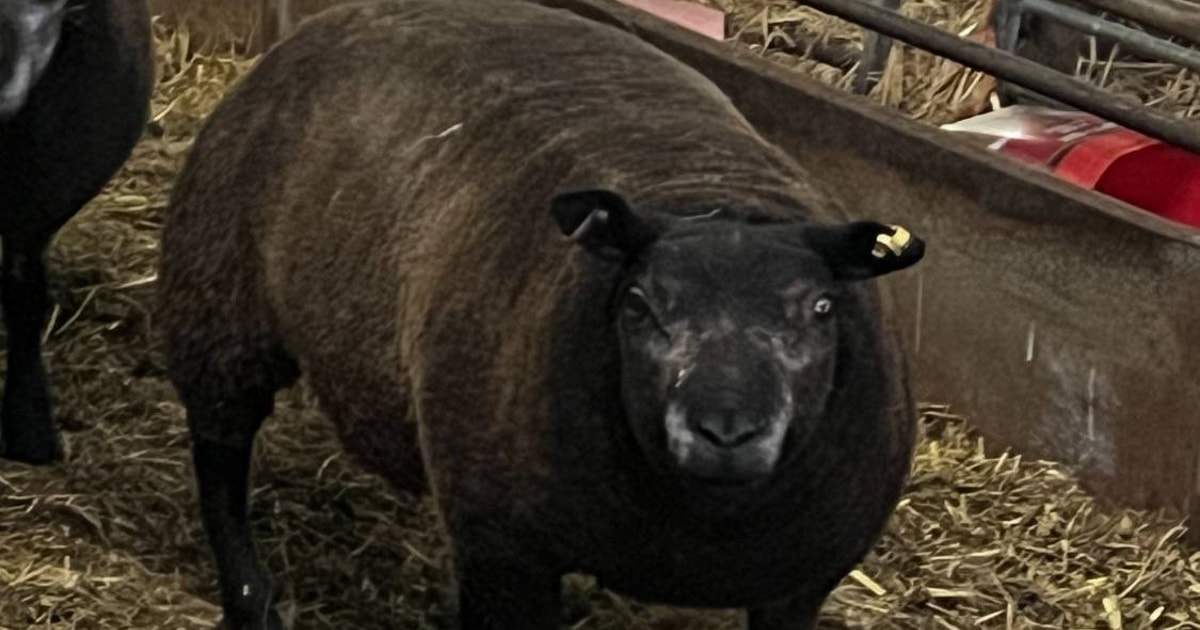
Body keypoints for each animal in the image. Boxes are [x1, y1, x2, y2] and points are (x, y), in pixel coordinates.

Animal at [157, 0, 926, 628]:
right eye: (639, 303)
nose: (726, 430)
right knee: (220, 456)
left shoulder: (798, 585)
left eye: (821, 307)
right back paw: (251, 601)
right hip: (217, 298)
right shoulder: (504, 550)